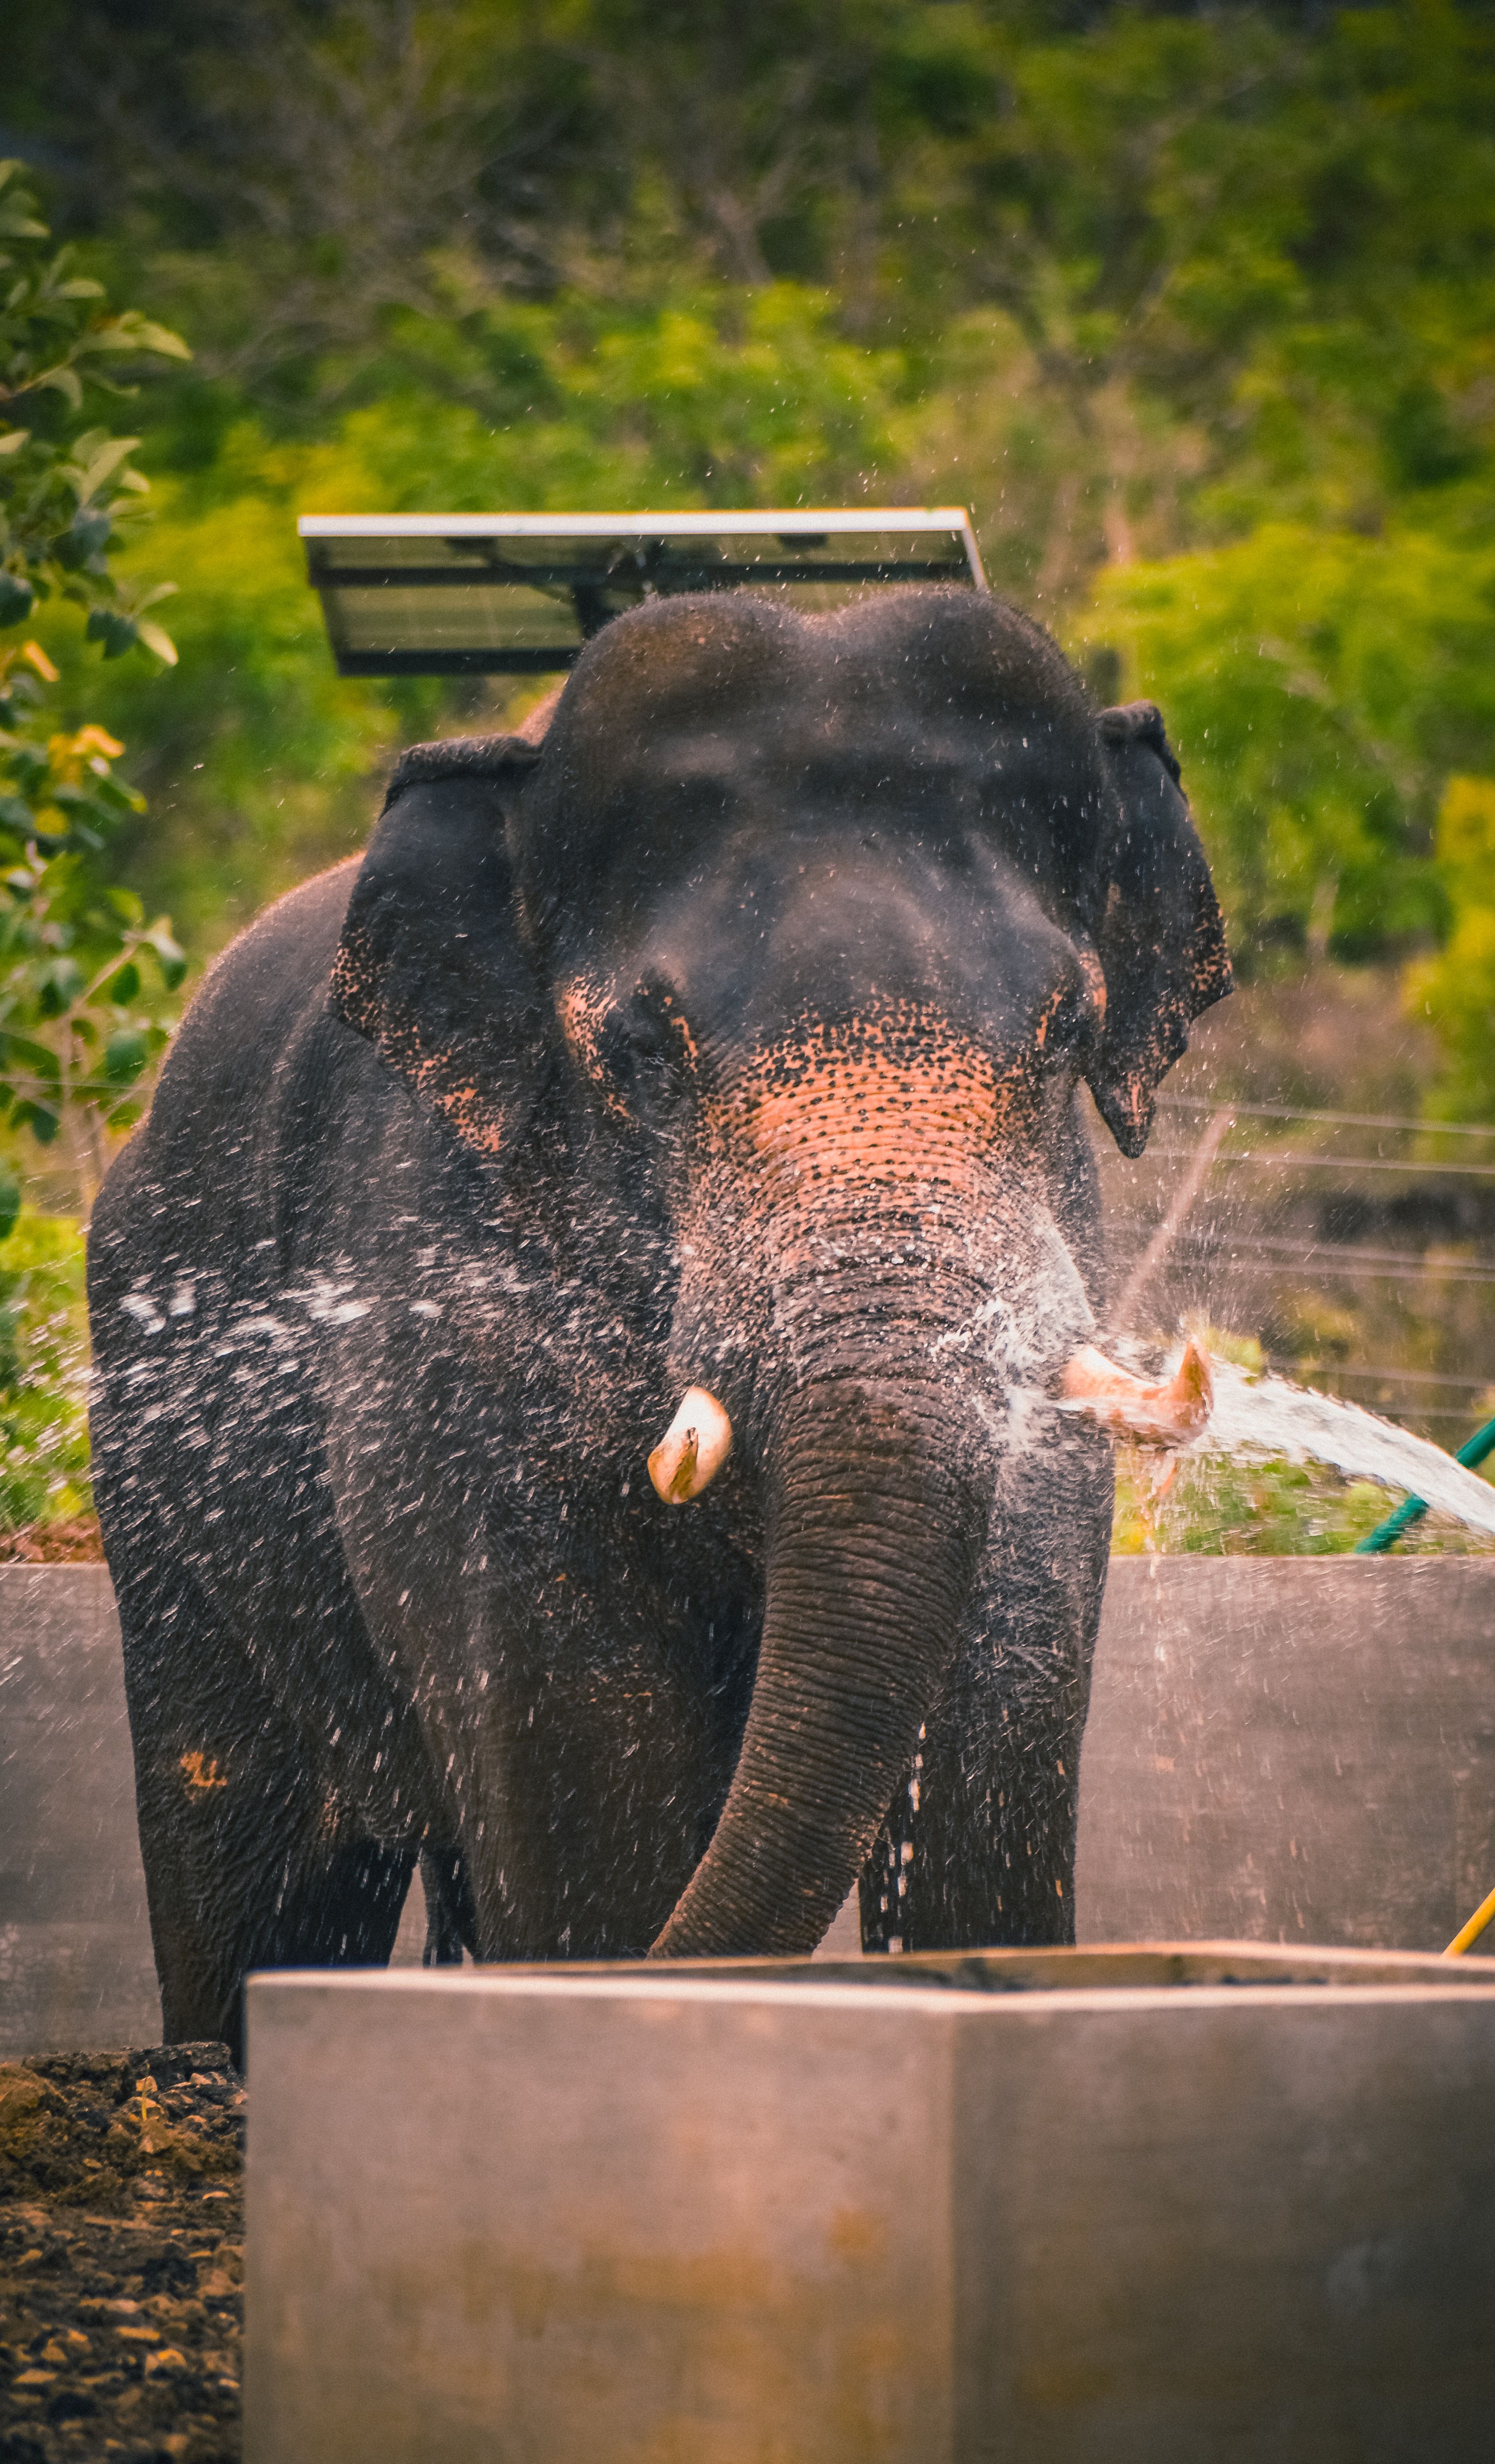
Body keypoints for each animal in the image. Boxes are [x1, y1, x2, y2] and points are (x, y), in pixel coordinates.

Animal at [87, 583, 1229, 2057]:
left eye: (1060, 1035)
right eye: (646, 1053)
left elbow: (999, 1726)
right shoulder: (450, 1333)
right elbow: (588, 1765)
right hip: (158, 1439)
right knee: (250, 1846)